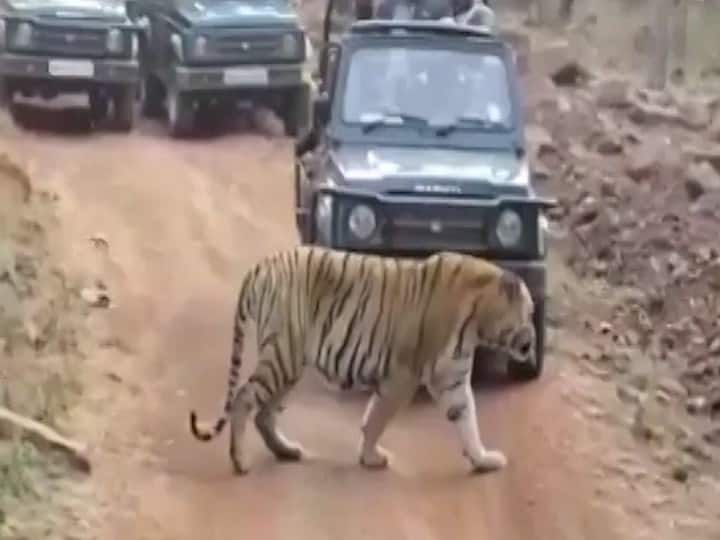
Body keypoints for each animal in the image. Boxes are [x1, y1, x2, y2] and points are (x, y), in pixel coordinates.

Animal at [189, 245, 536, 475]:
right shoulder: (403, 375)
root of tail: (261, 265)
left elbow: (467, 419)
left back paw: (286, 451)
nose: (532, 340)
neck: (478, 323)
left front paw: (482, 459)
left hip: (290, 363)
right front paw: (370, 458)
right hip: (282, 355)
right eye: (529, 312)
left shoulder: (451, 378)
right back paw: (240, 461)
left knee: (264, 413)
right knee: (244, 399)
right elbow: (378, 418)